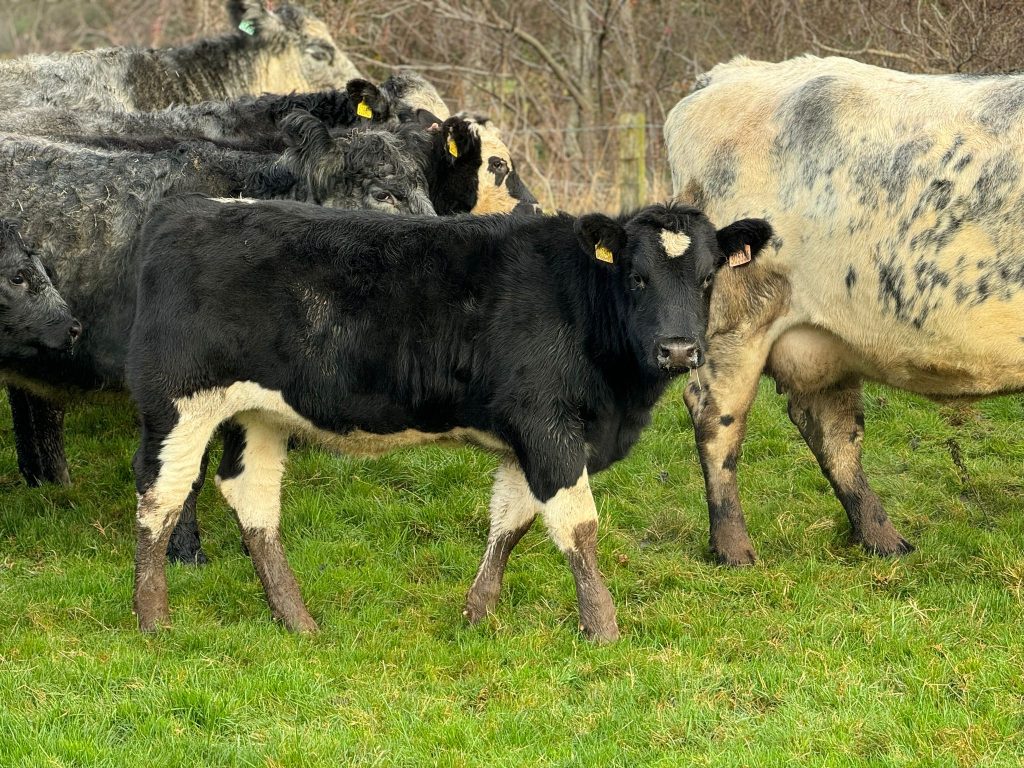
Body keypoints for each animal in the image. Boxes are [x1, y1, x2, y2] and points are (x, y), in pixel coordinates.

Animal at [126, 195, 772, 641]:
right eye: (637, 277)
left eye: (708, 278)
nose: (679, 350)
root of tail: (182, 208)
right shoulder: (548, 426)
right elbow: (579, 527)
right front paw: (603, 629)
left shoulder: (527, 438)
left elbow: (509, 524)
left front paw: (477, 613)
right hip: (177, 406)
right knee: (160, 498)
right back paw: (154, 620)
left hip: (259, 414)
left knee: (251, 498)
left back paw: (296, 620)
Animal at [664, 54, 1024, 565]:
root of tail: (729, 73)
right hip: (735, 319)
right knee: (715, 417)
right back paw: (734, 550)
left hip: (824, 338)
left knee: (831, 430)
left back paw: (883, 539)